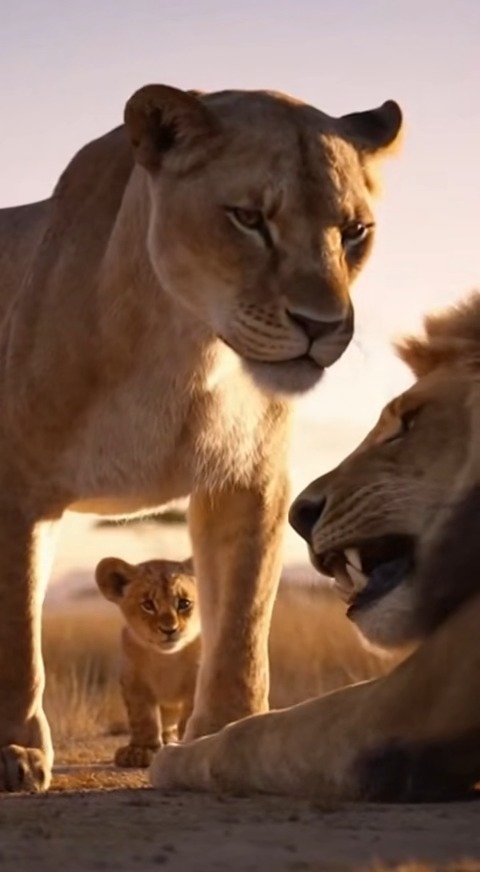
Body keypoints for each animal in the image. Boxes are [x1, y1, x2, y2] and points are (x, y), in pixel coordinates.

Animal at [94, 555, 393, 767]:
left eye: (183, 603)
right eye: (148, 605)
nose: (169, 629)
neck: (165, 659)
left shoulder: (197, 680)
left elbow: (191, 712)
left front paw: (183, 743)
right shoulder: (133, 683)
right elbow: (142, 717)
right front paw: (140, 750)